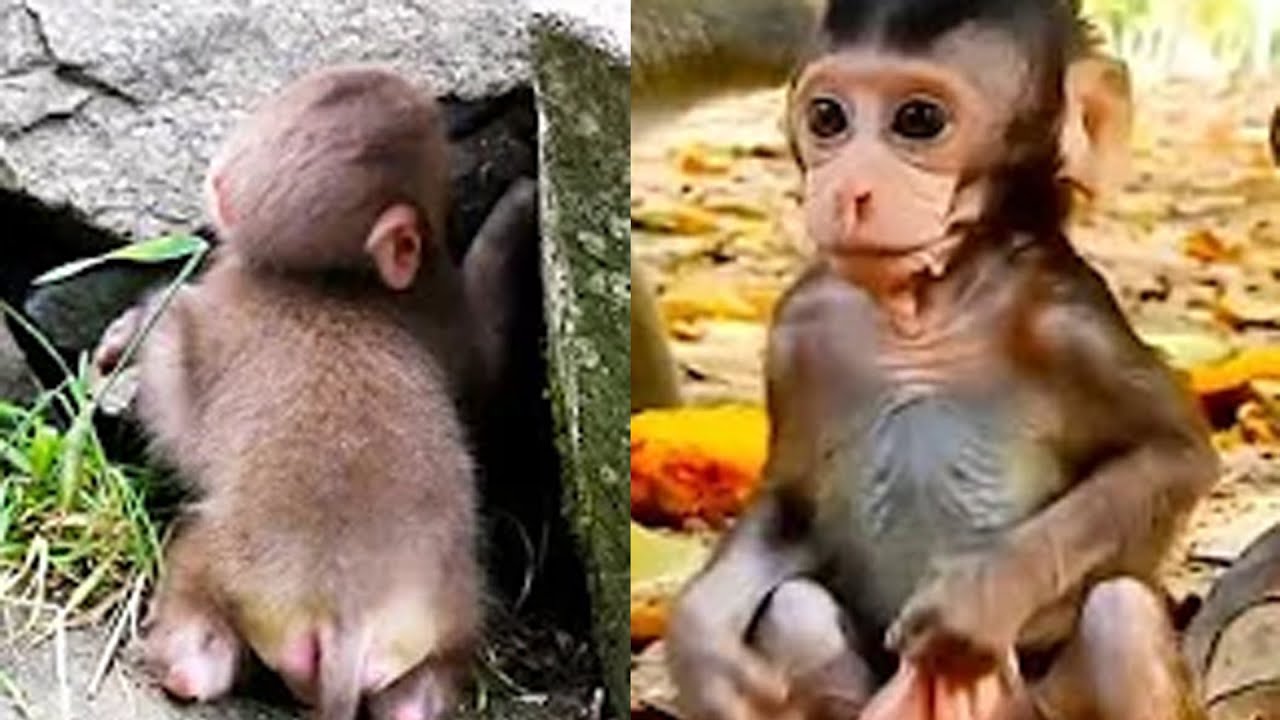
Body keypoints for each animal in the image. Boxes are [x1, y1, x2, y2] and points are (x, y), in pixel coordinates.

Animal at [106, 66, 482, 720]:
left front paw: (120, 339)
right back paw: (418, 697)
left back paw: (186, 662)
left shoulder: (217, 307)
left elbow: (169, 350)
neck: (332, 283)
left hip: (240, 567)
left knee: (199, 561)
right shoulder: (444, 307)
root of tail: (350, 613)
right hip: (439, 609)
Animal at [662, 2, 1217, 720]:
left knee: (1118, 613)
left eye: (918, 121)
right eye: (828, 118)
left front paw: (978, 600)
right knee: (794, 609)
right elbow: (791, 499)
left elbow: (1172, 453)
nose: (849, 191)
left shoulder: (1069, 321)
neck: (924, 315)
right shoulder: (796, 331)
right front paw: (700, 644)